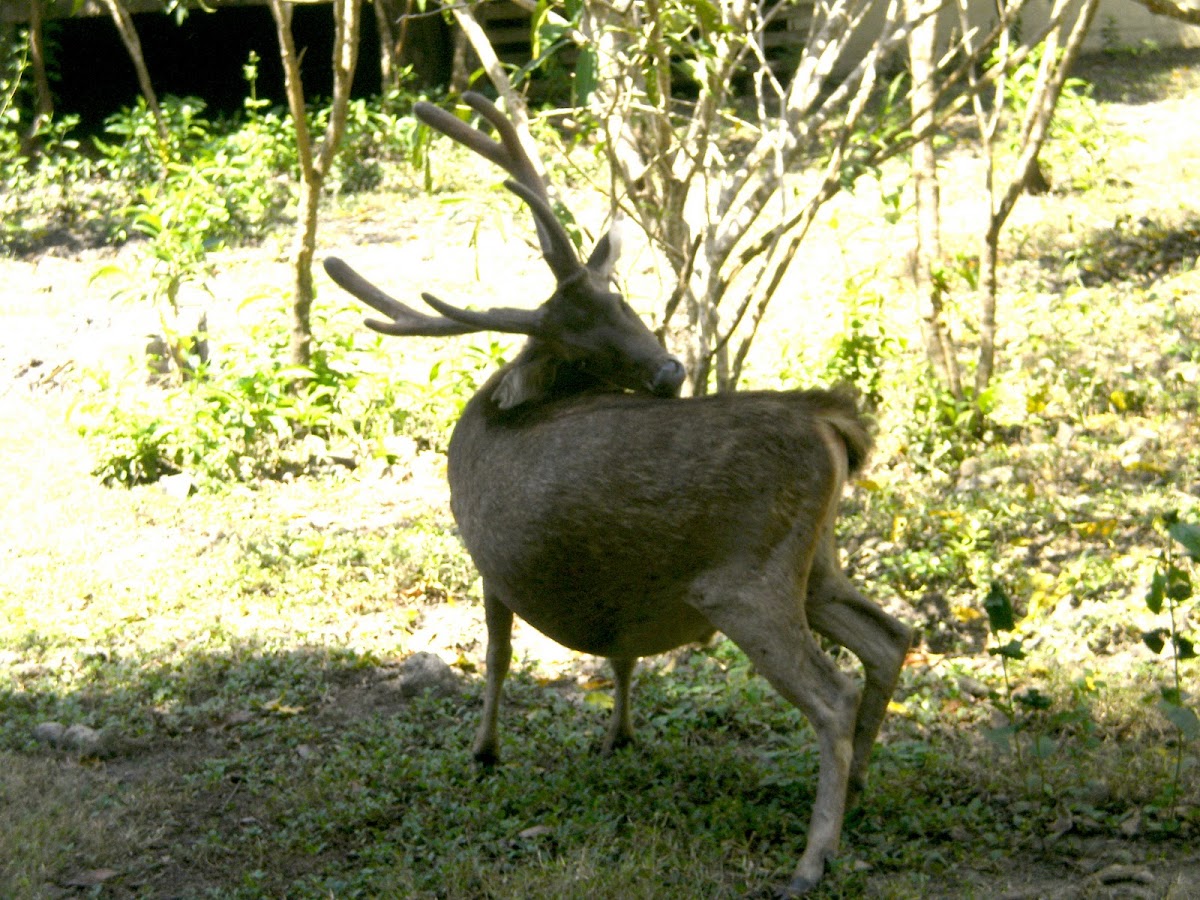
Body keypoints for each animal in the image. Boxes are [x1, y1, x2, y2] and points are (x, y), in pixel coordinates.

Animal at [323, 92, 913, 896]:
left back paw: (811, 859)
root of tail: (829, 422)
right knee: (891, 636)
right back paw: (859, 792)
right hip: (815, 562)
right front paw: (618, 733)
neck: (484, 417)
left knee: (833, 695)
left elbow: (498, 655)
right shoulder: (618, 588)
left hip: (743, 580)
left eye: (618, 298)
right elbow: (621, 657)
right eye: (577, 341)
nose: (668, 371)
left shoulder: (484, 560)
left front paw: (484, 750)